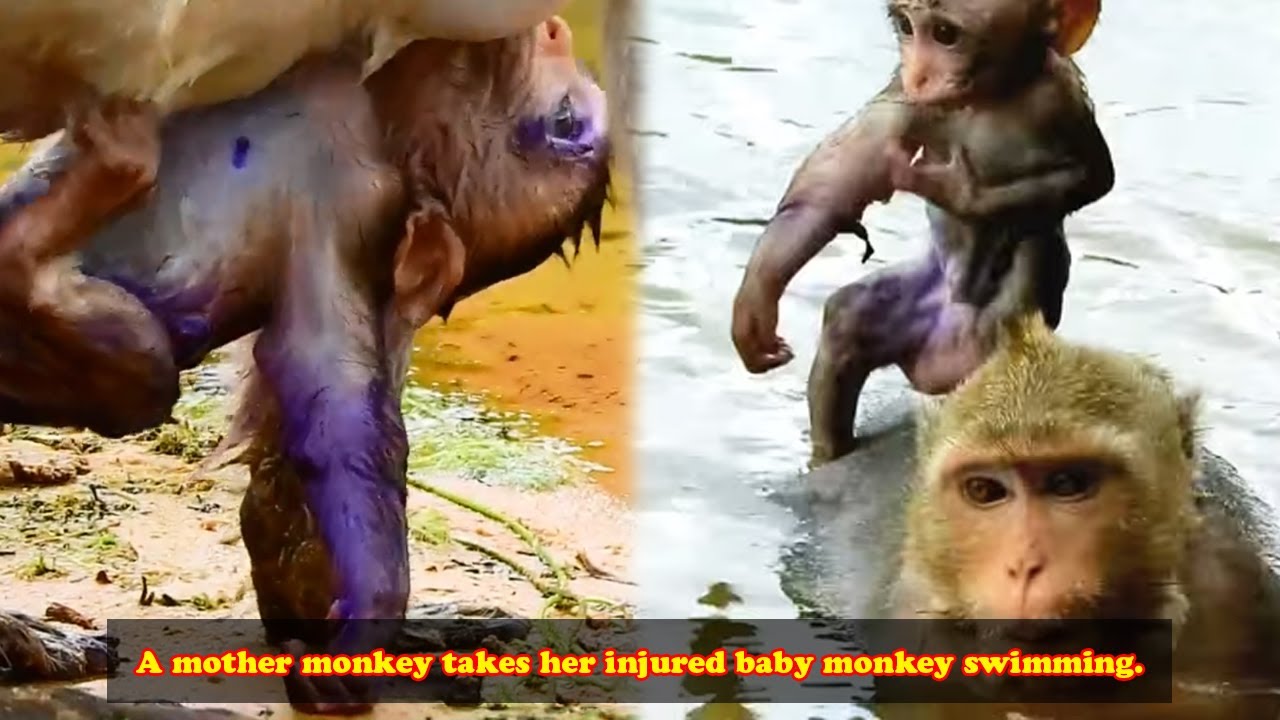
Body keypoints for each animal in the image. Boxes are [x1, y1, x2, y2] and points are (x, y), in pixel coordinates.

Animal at [0, 13, 613, 714]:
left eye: (567, 121)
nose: (556, 29)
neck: (375, 114)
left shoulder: (355, 212)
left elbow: (331, 400)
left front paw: (356, 645)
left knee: (142, 375)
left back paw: (62, 217)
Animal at [730, 0, 1115, 467]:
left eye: (946, 34)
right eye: (905, 26)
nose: (918, 74)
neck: (991, 98)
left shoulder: (1061, 97)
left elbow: (1094, 178)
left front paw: (958, 190)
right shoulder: (904, 96)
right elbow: (832, 192)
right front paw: (756, 303)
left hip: (990, 331)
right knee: (850, 317)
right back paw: (829, 452)